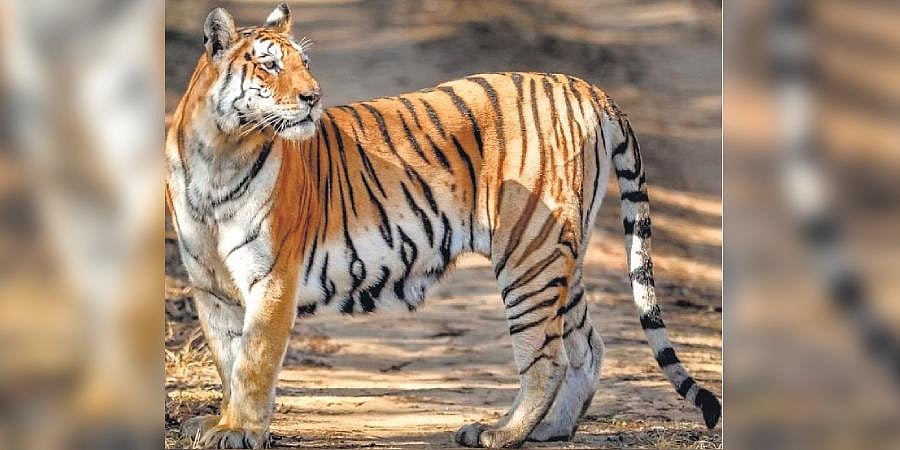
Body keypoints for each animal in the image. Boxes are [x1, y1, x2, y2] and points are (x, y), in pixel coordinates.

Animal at [165, 3, 721, 448]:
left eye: (305, 64)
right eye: (270, 64)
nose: (313, 97)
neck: (221, 152)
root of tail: (583, 87)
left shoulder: (273, 276)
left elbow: (254, 360)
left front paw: (238, 431)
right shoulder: (209, 284)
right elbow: (228, 357)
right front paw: (221, 423)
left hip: (528, 254)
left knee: (547, 357)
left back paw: (500, 433)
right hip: (561, 251)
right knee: (587, 346)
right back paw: (549, 429)